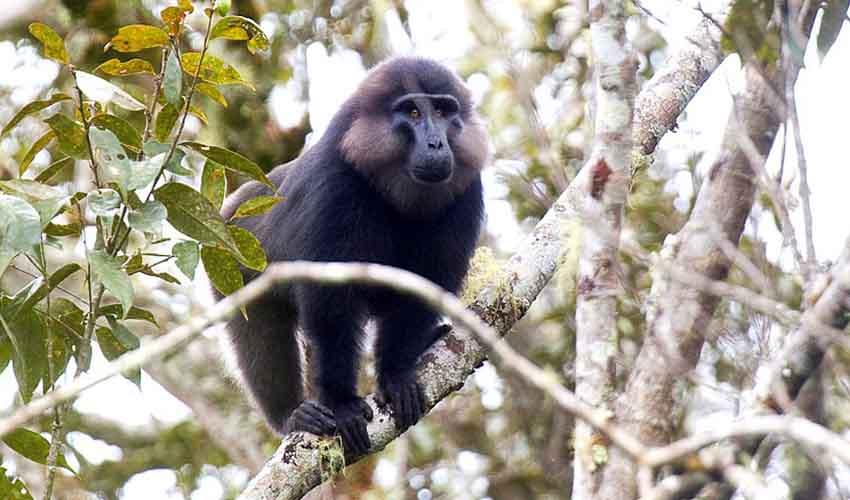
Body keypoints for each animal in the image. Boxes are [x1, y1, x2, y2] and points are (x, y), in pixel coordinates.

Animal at [218, 57, 489, 455]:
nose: (436, 142)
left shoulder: (467, 191)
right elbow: (330, 303)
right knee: (262, 330)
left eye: (442, 111)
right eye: (412, 112)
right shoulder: (334, 184)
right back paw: (290, 416)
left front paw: (396, 374)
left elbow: (424, 286)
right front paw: (342, 404)